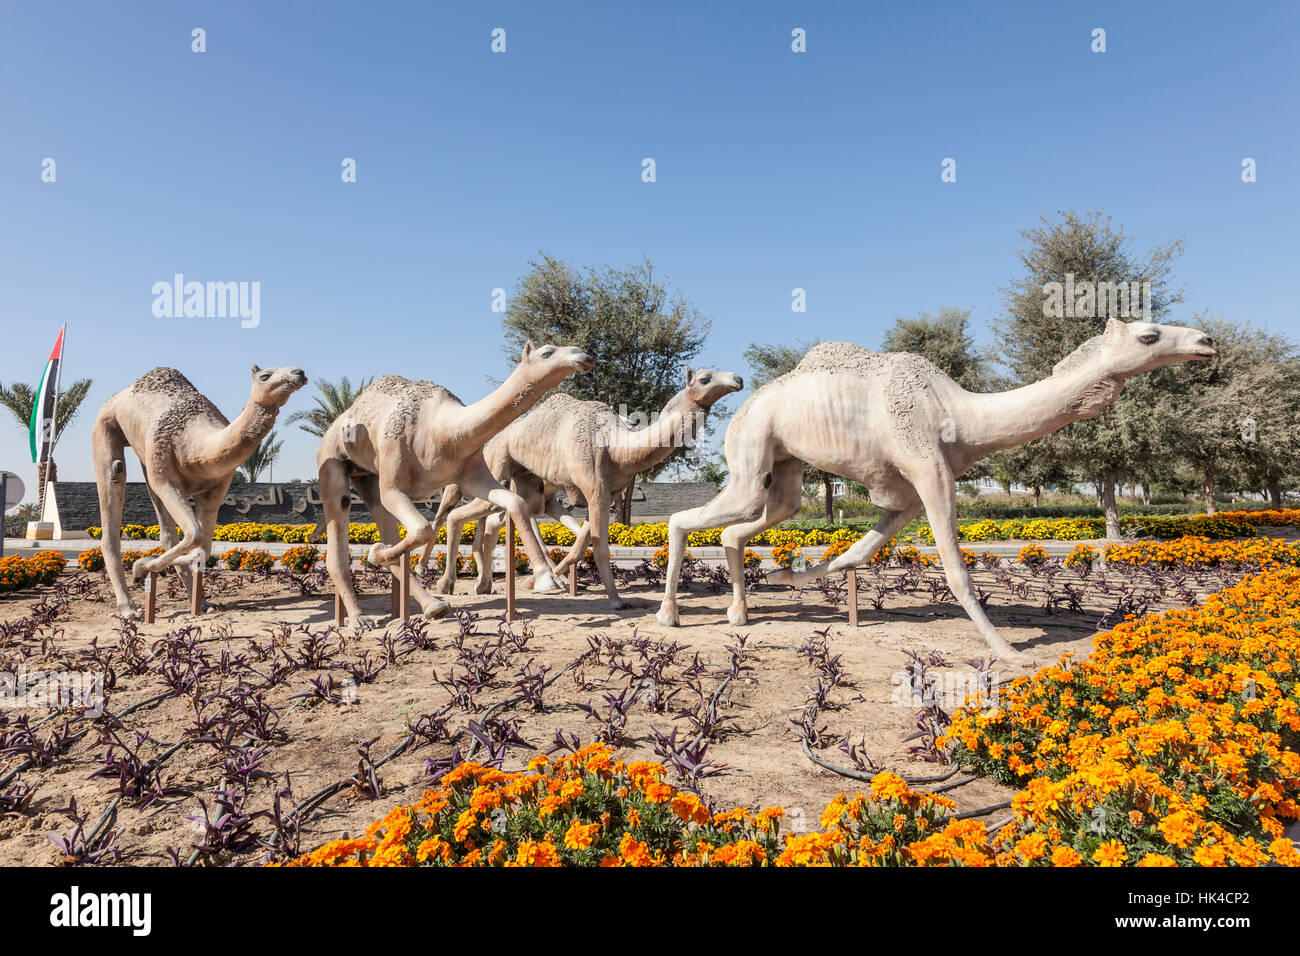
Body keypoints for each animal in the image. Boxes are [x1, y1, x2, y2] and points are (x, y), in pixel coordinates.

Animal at [93, 365, 308, 620]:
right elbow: (195, 536)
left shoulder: (217, 488)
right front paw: (140, 566)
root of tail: (118, 395)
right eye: (265, 376)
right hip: (106, 427)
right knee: (113, 489)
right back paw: (128, 608)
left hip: (145, 457)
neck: (199, 447)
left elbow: (203, 548)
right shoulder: (166, 477)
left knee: (167, 531)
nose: (299, 372)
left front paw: (197, 599)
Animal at [315, 341, 595, 627]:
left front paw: (546, 578)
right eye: (547, 353)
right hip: (333, 460)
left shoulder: (472, 476)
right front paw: (375, 553)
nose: (585, 356)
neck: (446, 431)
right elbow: (423, 529)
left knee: (387, 520)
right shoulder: (393, 483)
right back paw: (360, 618)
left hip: (368, 476)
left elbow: (515, 502)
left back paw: (432, 605)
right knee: (341, 515)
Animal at [431, 367, 744, 608]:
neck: (616, 445)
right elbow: (600, 546)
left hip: (530, 484)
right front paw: (616, 600)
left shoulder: (608, 492)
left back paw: (482, 584)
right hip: (498, 465)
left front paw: (550, 578)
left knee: (501, 517)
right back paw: (447, 584)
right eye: (705, 378)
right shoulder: (593, 485)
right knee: (462, 514)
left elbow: (583, 540)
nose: (737, 379)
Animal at [655, 319, 1217, 663]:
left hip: (784, 468)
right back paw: (669, 616)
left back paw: (739, 613)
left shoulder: (904, 493)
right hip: (751, 448)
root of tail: (744, 407)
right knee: (685, 520)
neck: (961, 414)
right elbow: (955, 569)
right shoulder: (927, 468)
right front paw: (1009, 653)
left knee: (745, 526)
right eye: (1149, 335)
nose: (1206, 341)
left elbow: (860, 550)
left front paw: (795, 575)